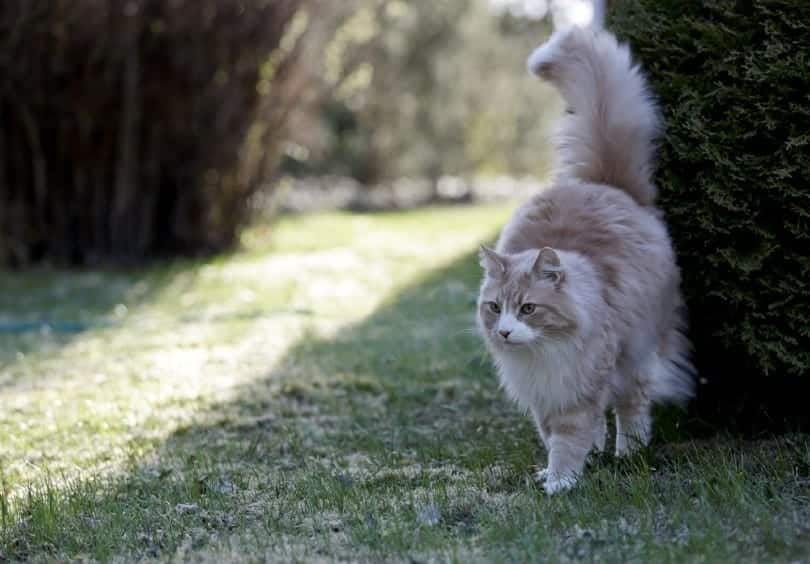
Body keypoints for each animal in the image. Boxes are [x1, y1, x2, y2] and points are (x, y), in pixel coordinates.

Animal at [474, 26, 696, 494]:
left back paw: (629, 452)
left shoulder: (580, 386)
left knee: (633, 406)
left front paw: (561, 482)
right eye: (495, 307)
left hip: (636, 355)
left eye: (528, 308)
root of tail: (605, 185)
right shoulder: (545, 397)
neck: (543, 354)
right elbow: (555, 433)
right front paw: (564, 469)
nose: (504, 332)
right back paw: (599, 453)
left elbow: (570, 436)